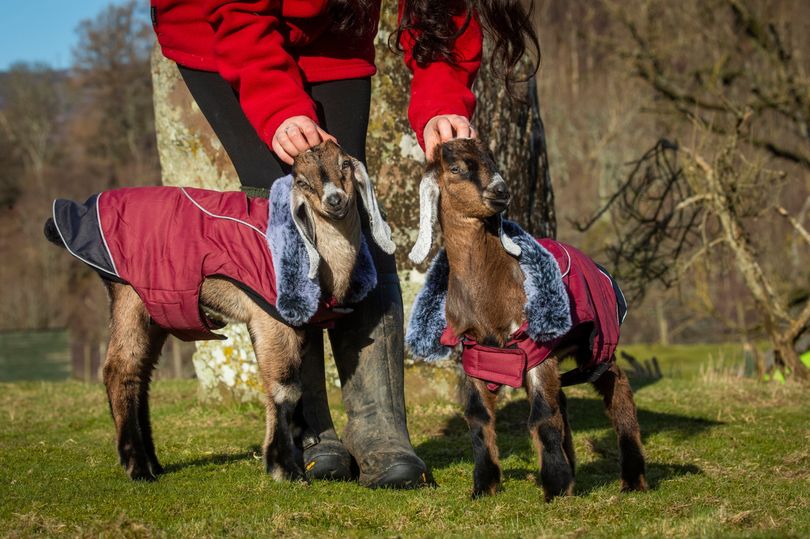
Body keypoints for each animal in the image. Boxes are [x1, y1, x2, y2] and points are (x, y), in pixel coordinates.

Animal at [43, 140, 394, 482]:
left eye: (345, 164)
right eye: (302, 182)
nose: (334, 200)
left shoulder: (297, 323)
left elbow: (295, 381)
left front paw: (296, 444)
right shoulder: (269, 317)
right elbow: (285, 387)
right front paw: (283, 467)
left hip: (157, 310)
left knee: (141, 374)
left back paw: (154, 464)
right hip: (130, 295)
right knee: (120, 370)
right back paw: (138, 468)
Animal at [406, 139, 646, 500]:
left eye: (493, 161)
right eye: (457, 168)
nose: (501, 190)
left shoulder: (535, 350)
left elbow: (542, 417)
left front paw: (556, 487)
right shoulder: (474, 354)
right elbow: (478, 418)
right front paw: (484, 486)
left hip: (597, 343)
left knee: (616, 388)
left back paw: (633, 480)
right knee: (563, 401)